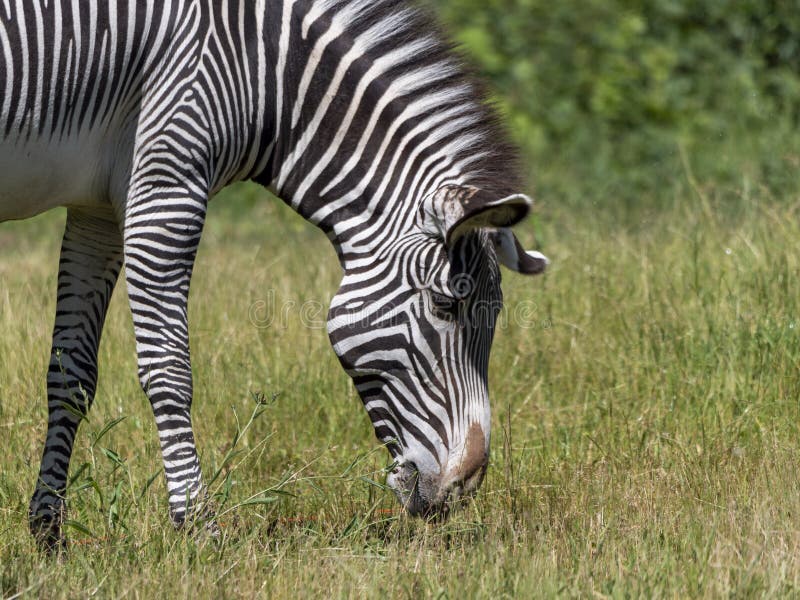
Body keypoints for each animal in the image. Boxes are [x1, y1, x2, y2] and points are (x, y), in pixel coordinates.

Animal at [0, 0, 548, 549]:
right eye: (443, 305)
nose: (462, 488)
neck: (258, 68)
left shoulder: (97, 211)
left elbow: (71, 374)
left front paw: (48, 529)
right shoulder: (166, 188)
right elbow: (169, 369)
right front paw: (197, 524)